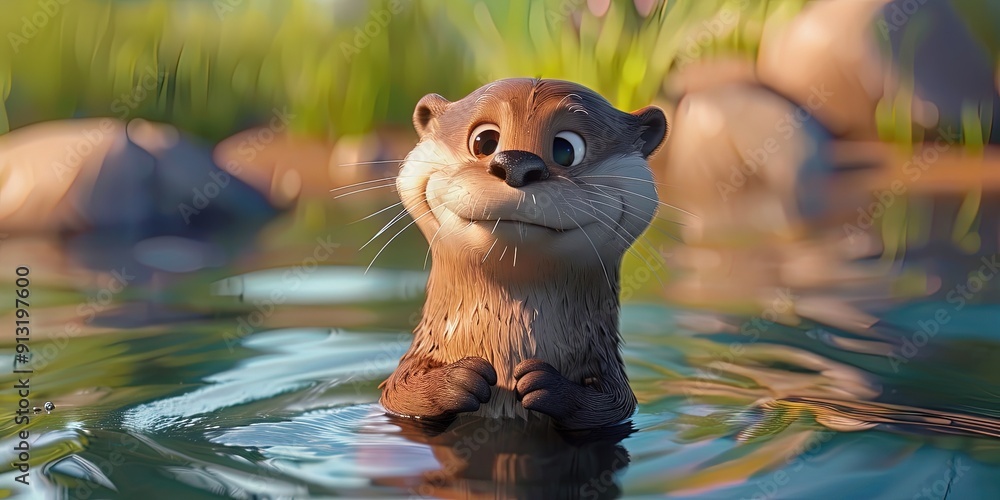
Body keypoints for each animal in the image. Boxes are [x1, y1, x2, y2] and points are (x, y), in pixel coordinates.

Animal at [379, 78, 667, 430]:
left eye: (566, 149)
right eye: (484, 141)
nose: (516, 163)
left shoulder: (613, 382)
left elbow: (611, 405)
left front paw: (546, 384)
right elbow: (398, 392)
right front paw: (458, 379)